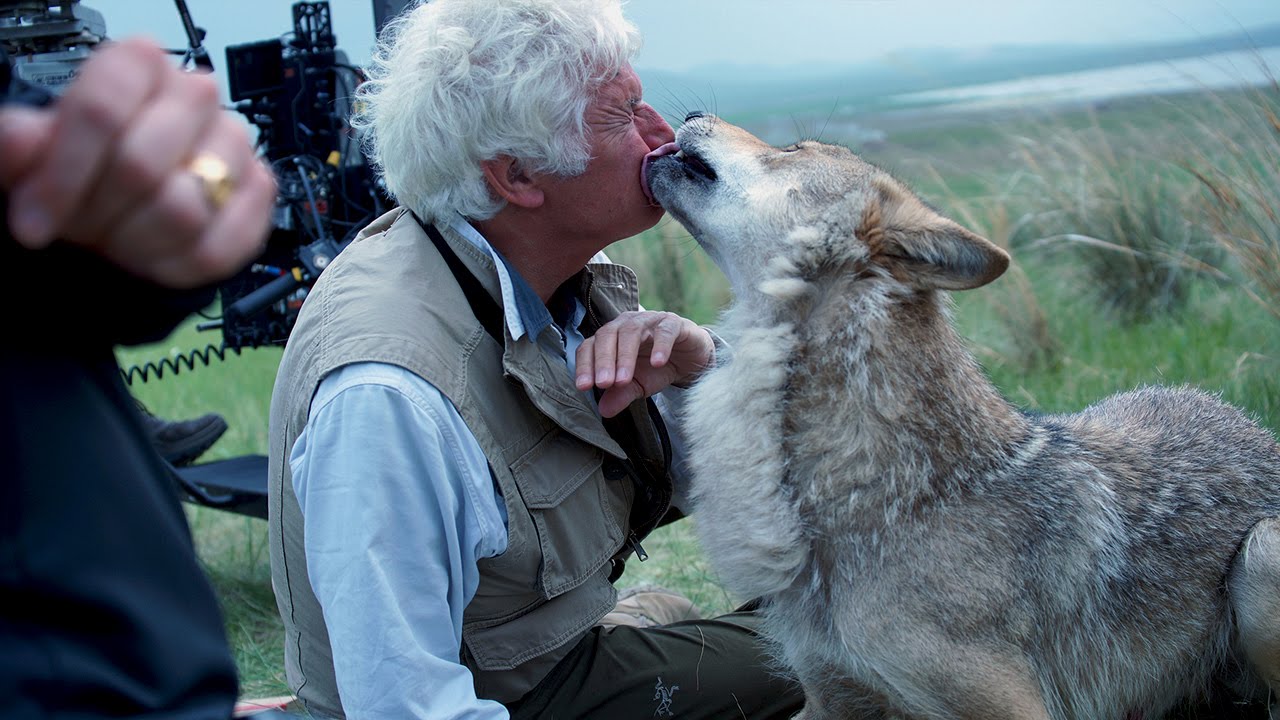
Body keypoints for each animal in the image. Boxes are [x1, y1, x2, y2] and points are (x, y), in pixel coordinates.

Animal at [644, 112, 1280, 719]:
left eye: (794, 149)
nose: (693, 111)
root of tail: (1252, 427)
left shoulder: (1010, 707)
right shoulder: (829, 693)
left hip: (1259, 554)